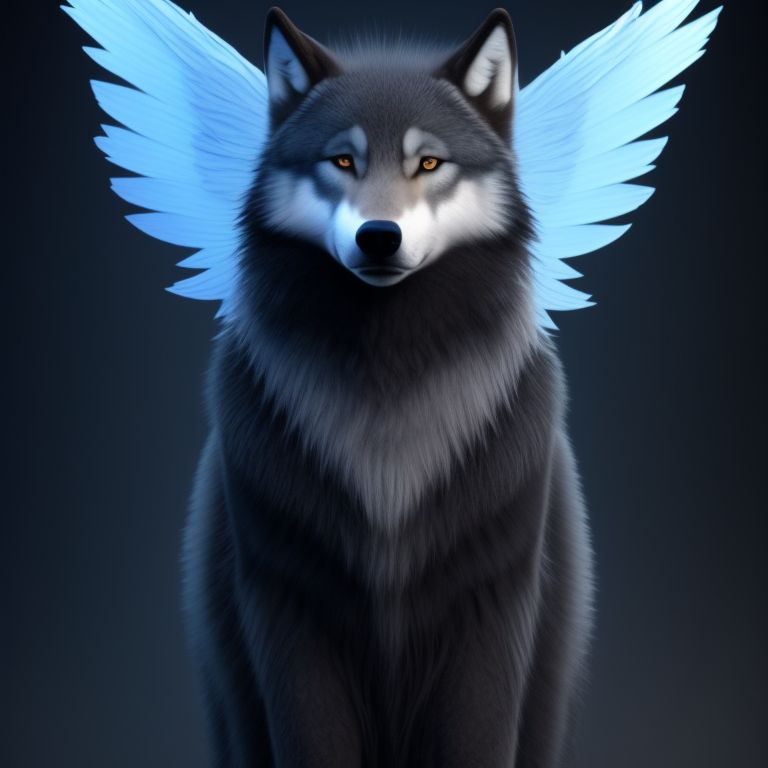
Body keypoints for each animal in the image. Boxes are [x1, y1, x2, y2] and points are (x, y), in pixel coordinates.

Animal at [64, 0, 721, 765]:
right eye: (343, 160)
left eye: (428, 162)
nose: (379, 236)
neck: (387, 388)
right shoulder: (290, 612)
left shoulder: (489, 613)